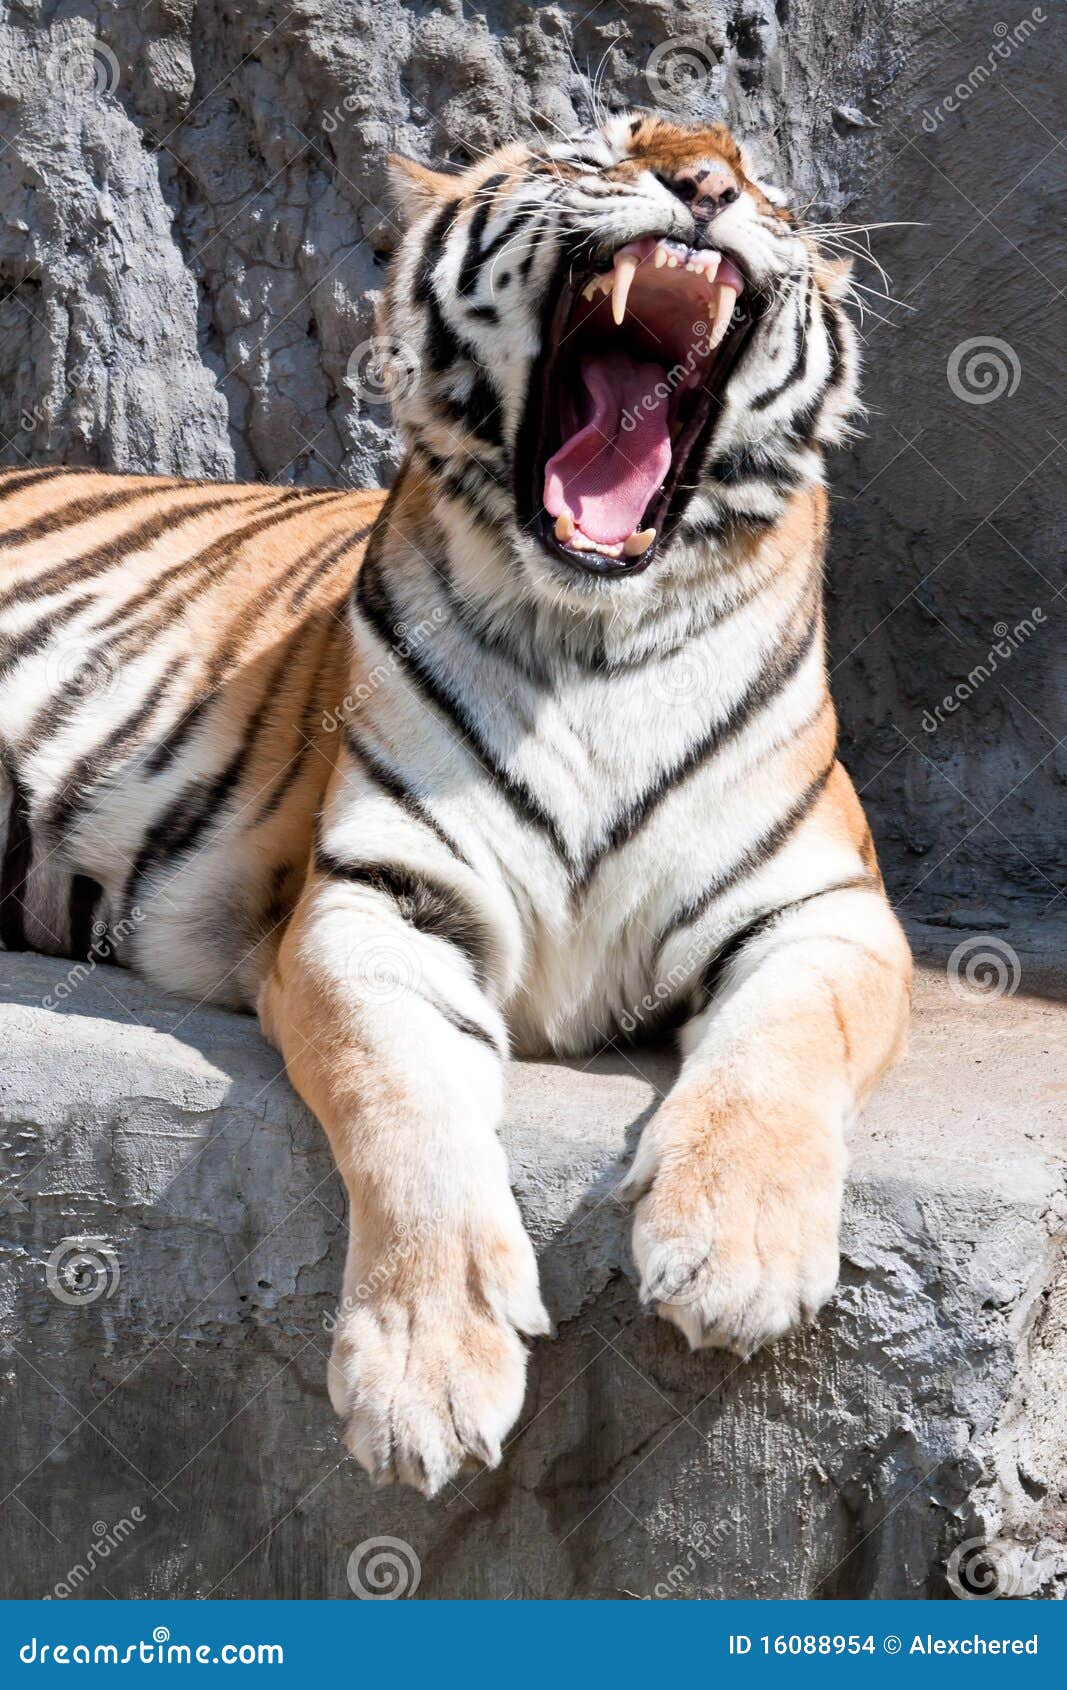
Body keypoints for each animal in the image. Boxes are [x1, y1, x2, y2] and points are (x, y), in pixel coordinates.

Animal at [0, 113, 912, 1498]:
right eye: (596, 143)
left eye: (769, 190)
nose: (701, 181)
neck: (593, 637)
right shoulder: (379, 904)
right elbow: (404, 1101)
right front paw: (422, 1374)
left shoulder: (826, 911)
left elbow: (779, 1053)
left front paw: (734, 1256)